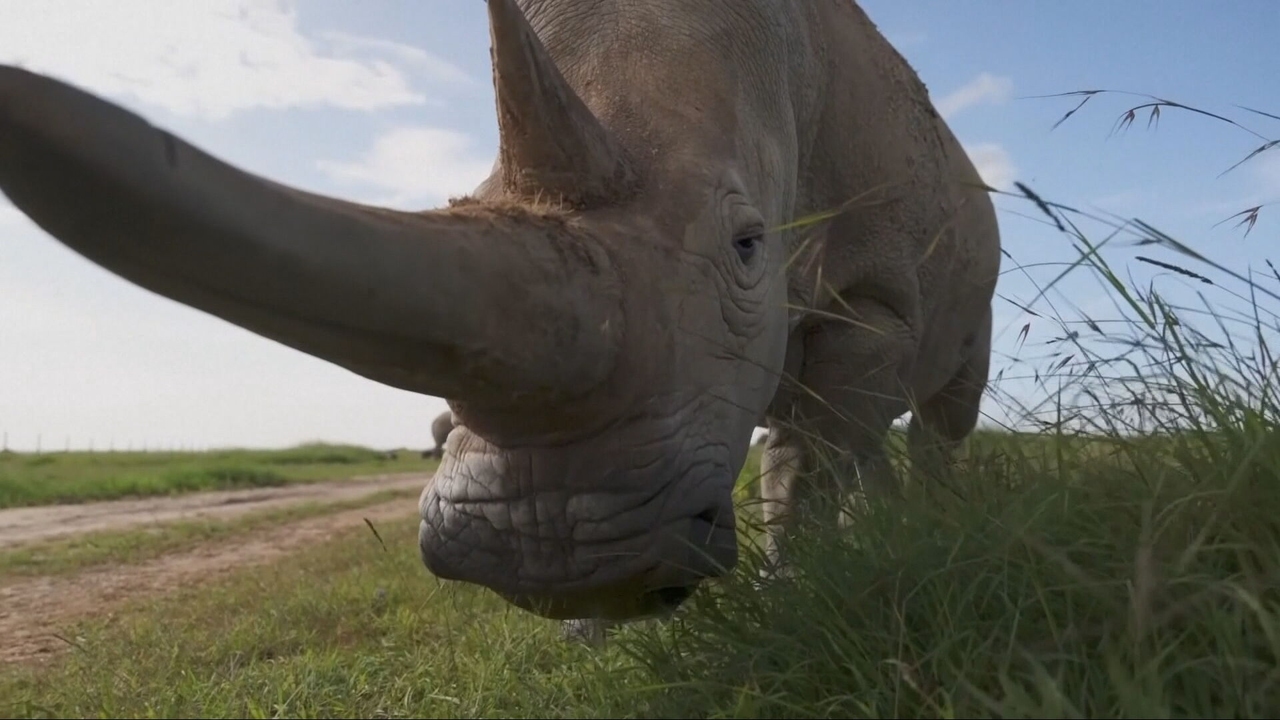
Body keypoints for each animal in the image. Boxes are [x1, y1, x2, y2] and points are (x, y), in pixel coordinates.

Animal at [0, 0, 1001, 628]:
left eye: (752, 246)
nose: (547, 549)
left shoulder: (875, 291)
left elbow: (802, 460)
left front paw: (791, 597)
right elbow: (809, 445)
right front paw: (589, 631)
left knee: (936, 408)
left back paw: (941, 519)